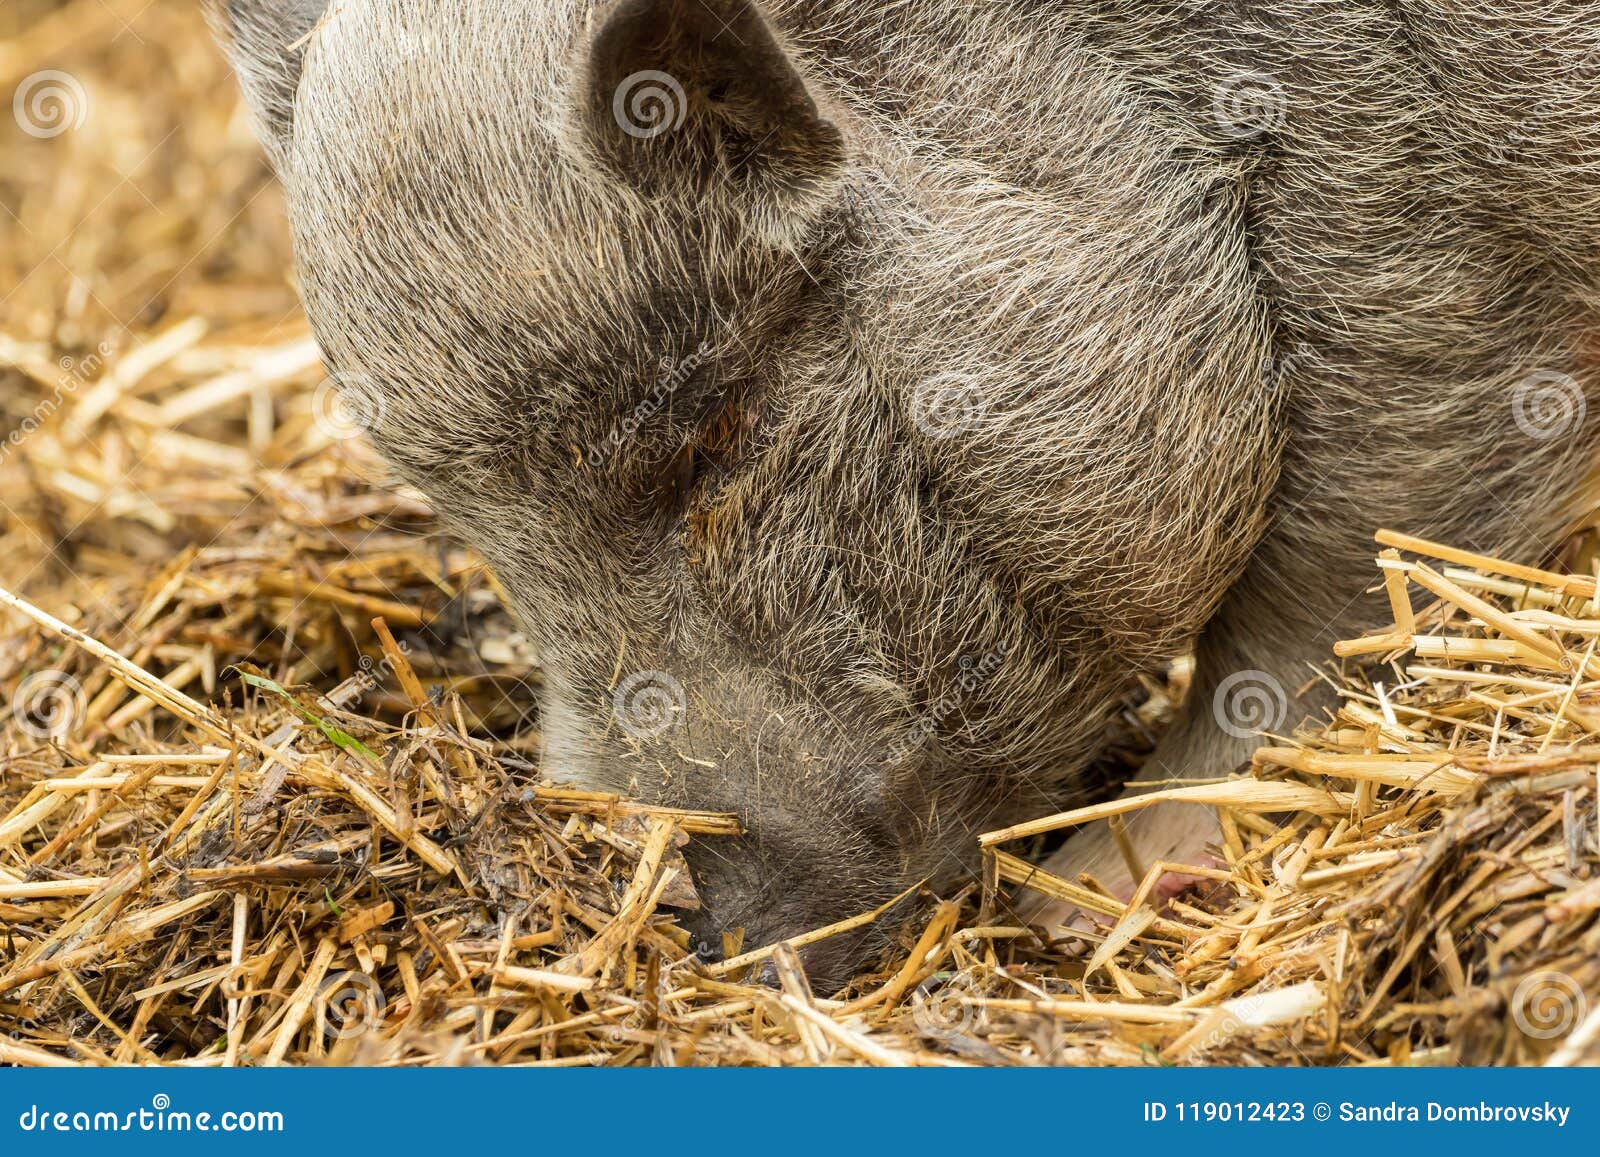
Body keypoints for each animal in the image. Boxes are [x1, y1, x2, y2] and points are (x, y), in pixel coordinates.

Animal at [211, 0, 1600, 987]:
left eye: (713, 424)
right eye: (476, 519)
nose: (713, 930)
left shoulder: (1435, 277)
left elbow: (1335, 578)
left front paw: (1081, 894)